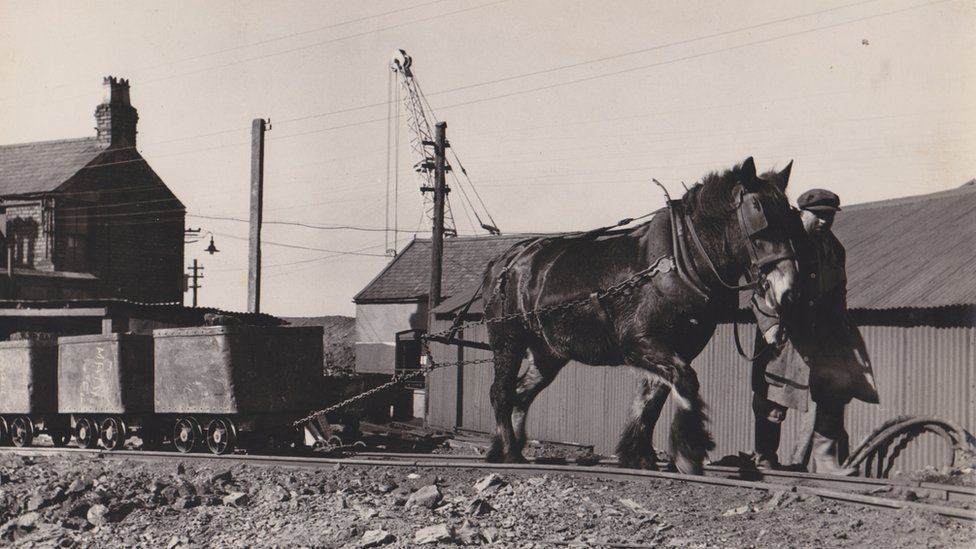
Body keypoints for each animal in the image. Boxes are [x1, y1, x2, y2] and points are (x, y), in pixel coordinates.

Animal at [481, 157, 797, 474]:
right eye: (760, 217)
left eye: (791, 218)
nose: (788, 290)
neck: (679, 260)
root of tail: (506, 260)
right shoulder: (639, 342)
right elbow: (685, 382)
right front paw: (688, 451)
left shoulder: (677, 347)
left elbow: (652, 399)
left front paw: (638, 455)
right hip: (508, 340)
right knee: (501, 392)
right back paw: (508, 450)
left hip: (547, 352)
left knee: (521, 393)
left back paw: (508, 447)